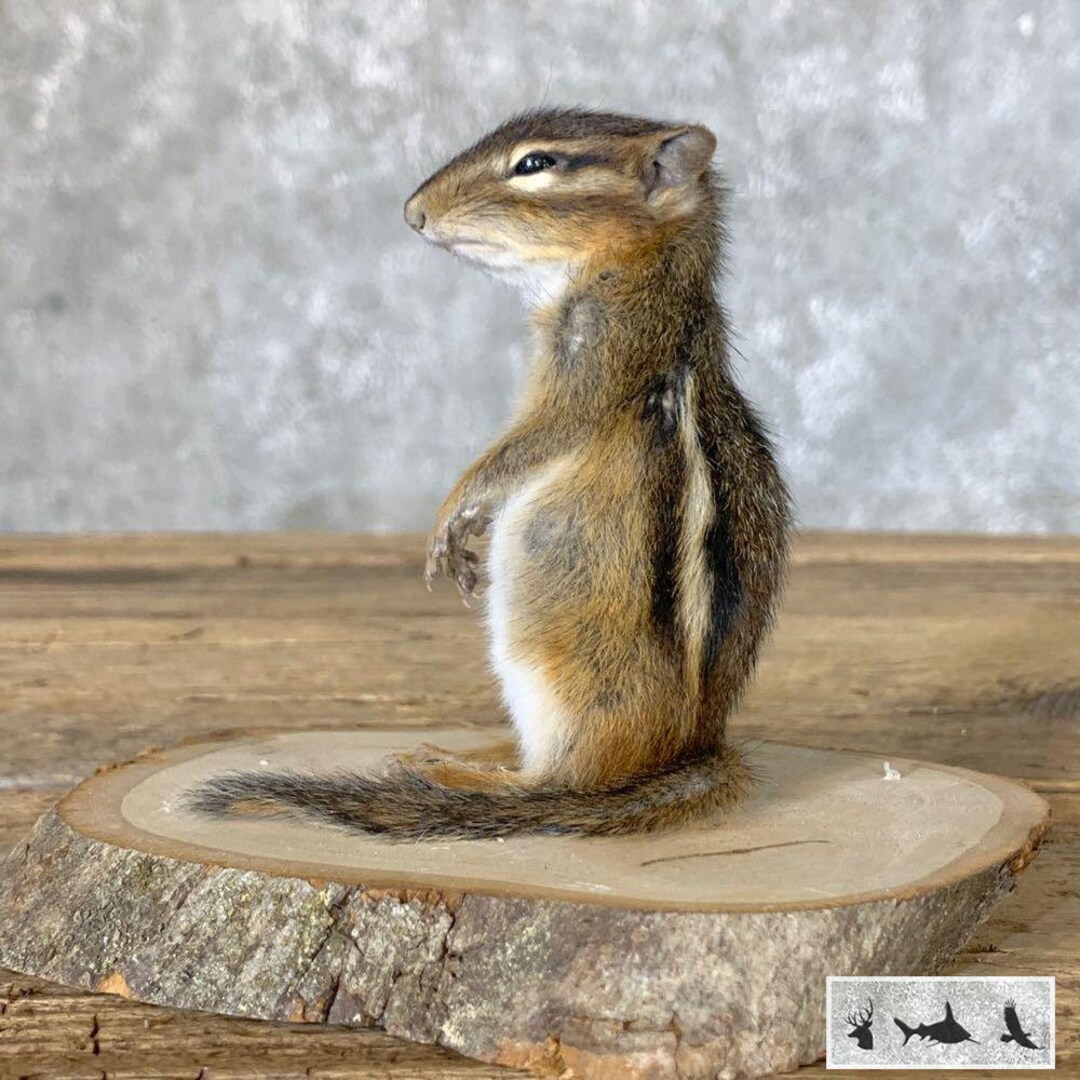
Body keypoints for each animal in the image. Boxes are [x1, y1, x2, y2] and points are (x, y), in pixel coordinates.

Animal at [187, 108, 792, 838]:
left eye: (534, 164)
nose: (413, 212)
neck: (652, 269)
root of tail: (682, 756)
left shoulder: (594, 359)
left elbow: (524, 447)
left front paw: (453, 518)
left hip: (545, 673)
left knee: (553, 781)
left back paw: (454, 771)